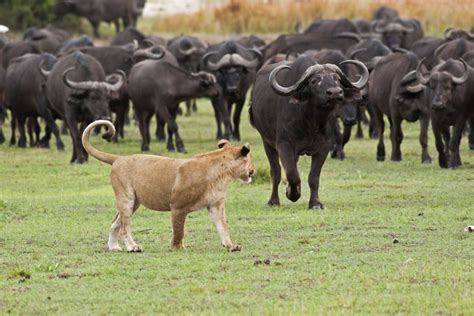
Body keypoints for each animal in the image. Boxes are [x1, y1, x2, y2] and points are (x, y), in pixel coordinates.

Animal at [250, 56, 368, 210]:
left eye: (336, 79)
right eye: (314, 81)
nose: (335, 92)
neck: (310, 123)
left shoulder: (324, 147)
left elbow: (313, 177)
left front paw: (315, 203)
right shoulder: (284, 145)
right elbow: (292, 174)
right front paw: (293, 194)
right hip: (267, 143)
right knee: (276, 171)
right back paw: (273, 201)